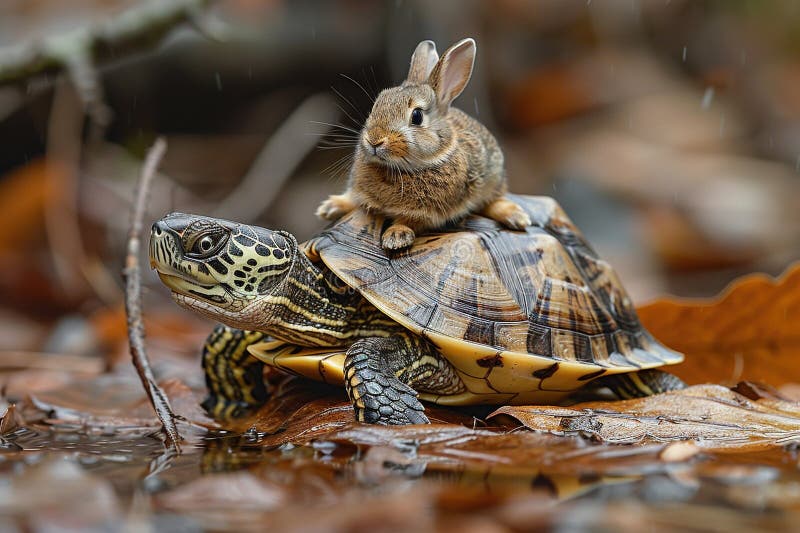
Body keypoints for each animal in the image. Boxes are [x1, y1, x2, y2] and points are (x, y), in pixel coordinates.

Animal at [316, 38, 531, 251]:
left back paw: (517, 217)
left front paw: (396, 236)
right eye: (376, 105)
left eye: (417, 116)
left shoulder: (426, 213)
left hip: (492, 180)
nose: (374, 140)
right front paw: (329, 207)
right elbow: (354, 200)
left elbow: (409, 221)